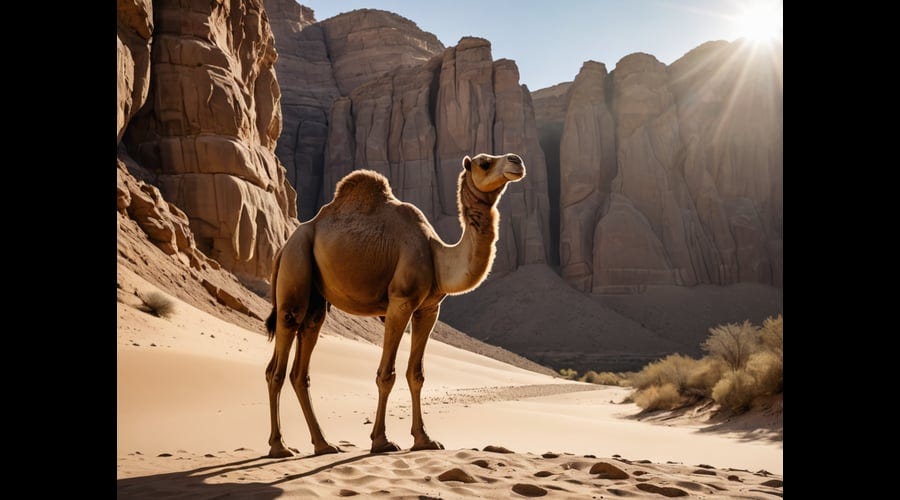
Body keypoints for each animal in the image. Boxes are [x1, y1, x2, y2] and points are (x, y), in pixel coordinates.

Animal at [264, 152, 526, 458]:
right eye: (484, 162)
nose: (516, 160)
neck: (436, 256)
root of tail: (283, 246)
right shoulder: (400, 302)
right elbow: (386, 374)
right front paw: (381, 441)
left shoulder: (428, 309)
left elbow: (417, 374)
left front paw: (425, 439)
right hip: (296, 268)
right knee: (278, 364)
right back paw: (280, 446)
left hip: (316, 300)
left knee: (300, 367)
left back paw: (324, 444)